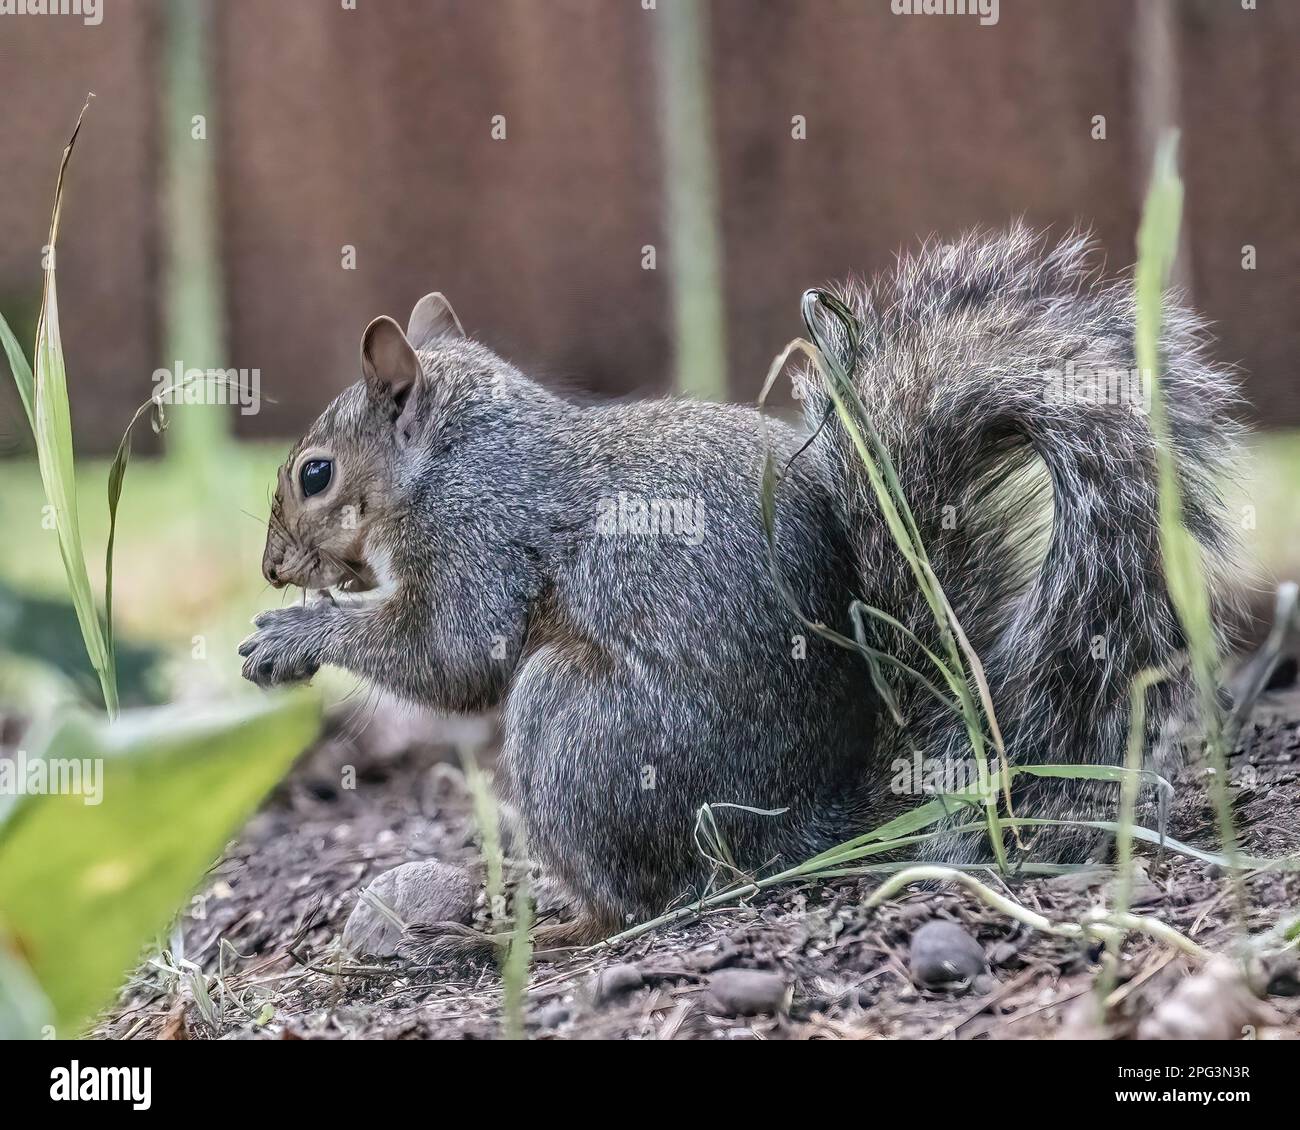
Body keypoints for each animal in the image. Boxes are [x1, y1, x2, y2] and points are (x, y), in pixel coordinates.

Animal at [241, 226, 1243, 948]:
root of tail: (807, 820)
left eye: (317, 474)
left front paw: (292, 637)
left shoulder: (481, 536)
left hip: (575, 728)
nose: (272, 567)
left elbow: (451, 653)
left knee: (636, 900)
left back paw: (548, 933)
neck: (453, 455)